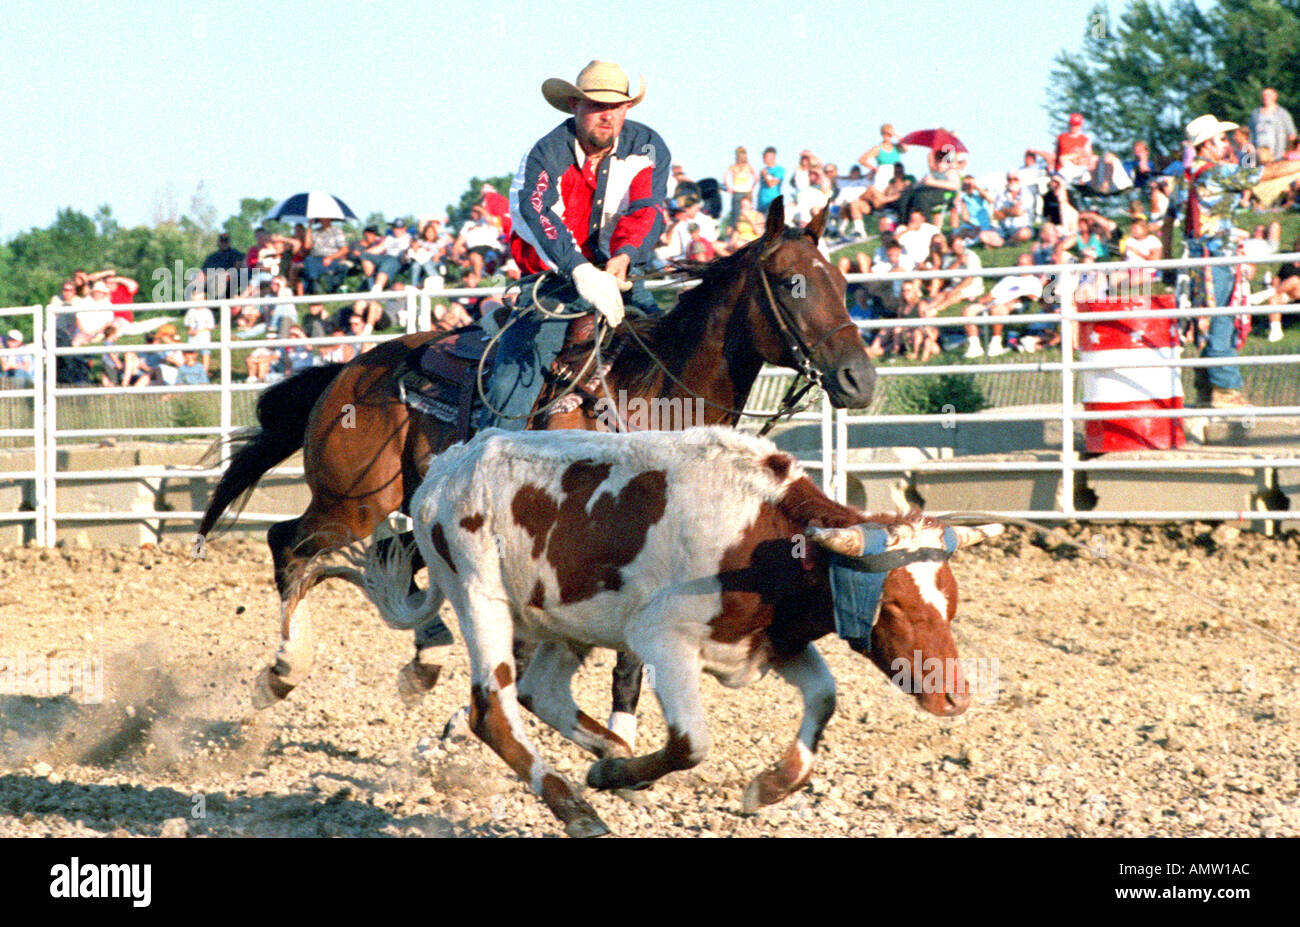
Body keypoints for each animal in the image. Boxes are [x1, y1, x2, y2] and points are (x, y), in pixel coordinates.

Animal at [196, 199, 877, 734]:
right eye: (790, 282)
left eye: (844, 283)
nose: (859, 379)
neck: (646, 396)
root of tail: (346, 372)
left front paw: (620, 736)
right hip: (350, 503)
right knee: (288, 543)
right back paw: (285, 668)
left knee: (391, 559)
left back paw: (424, 656)